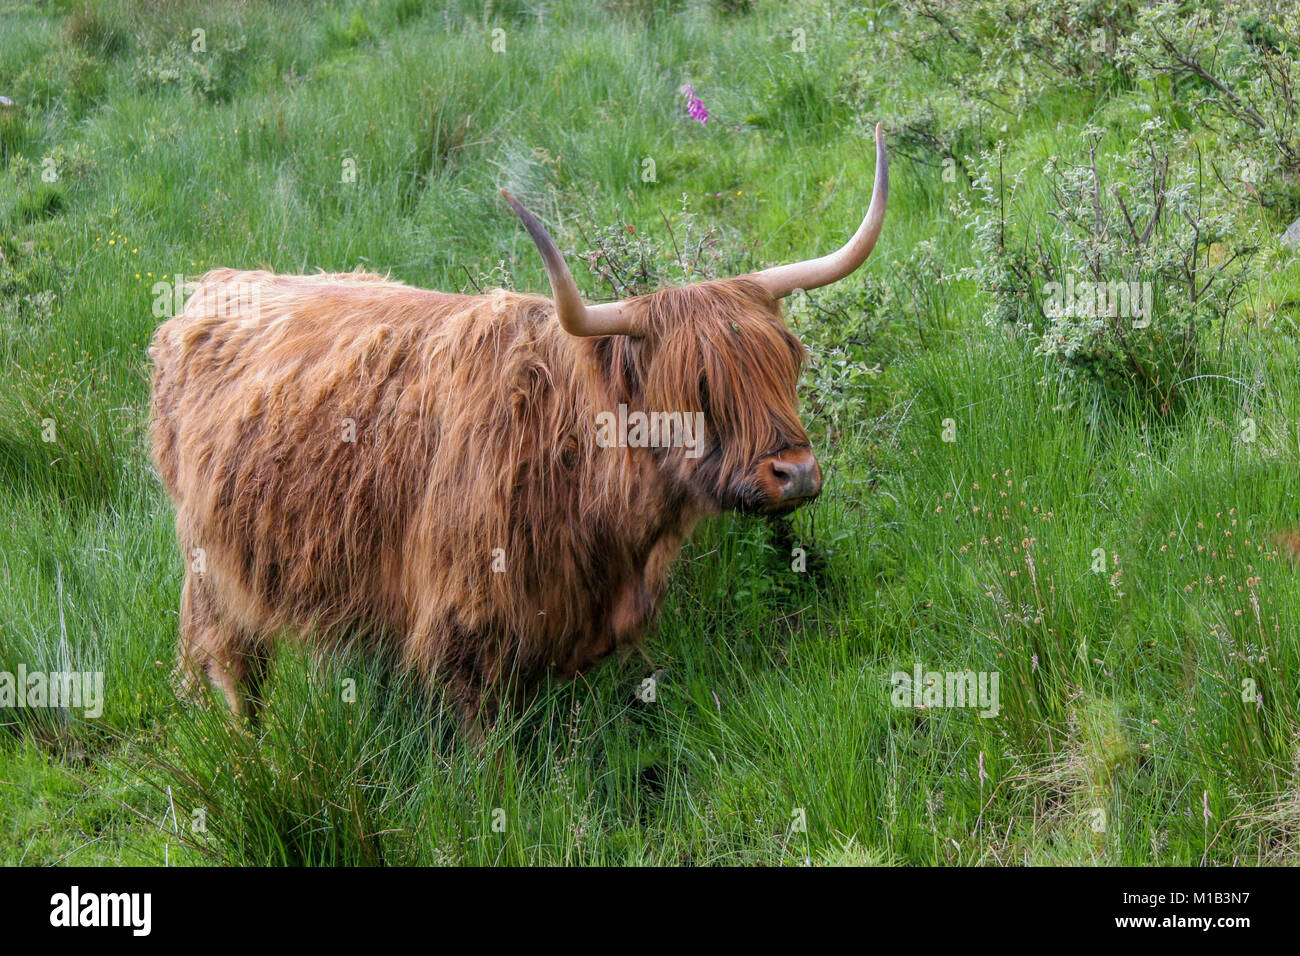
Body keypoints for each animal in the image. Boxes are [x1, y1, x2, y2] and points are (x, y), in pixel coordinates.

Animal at [148, 125, 888, 737]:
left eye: (786, 362)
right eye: (697, 385)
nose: (796, 472)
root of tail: (211, 289)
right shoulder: (468, 624)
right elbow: (489, 755)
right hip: (213, 566)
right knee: (233, 664)